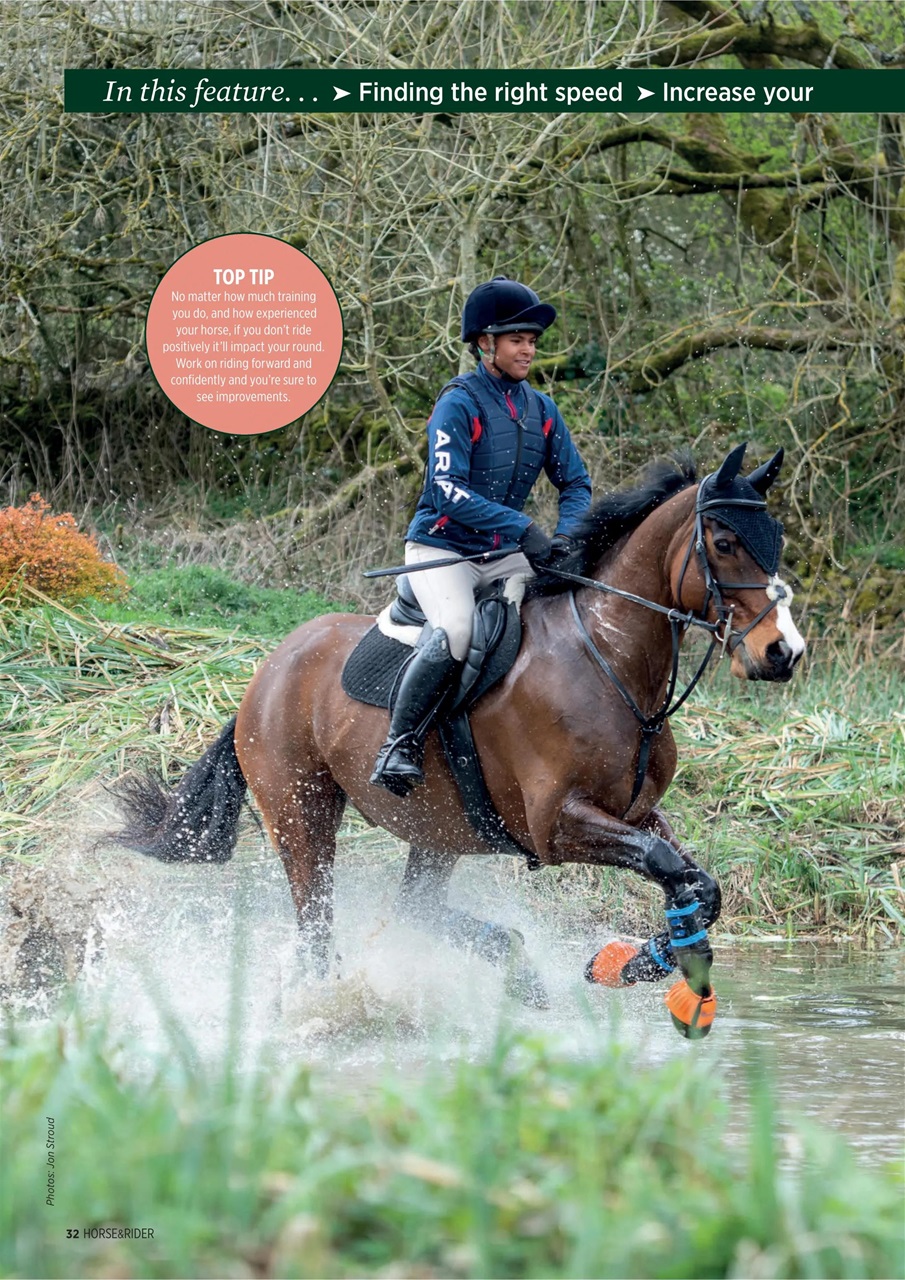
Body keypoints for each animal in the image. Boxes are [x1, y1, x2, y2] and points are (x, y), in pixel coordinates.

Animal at [116, 443, 805, 1038]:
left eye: (774, 542)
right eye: (724, 543)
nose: (784, 653)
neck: (605, 658)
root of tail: (269, 668)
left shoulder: (635, 812)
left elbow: (698, 883)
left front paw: (648, 958)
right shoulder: (557, 825)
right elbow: (667, 865)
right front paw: (643, 960)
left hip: (439, 827)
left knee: (414, 910)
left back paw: (518, 974)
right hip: (300, 812)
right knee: (317, 928)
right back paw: (325, 1010)